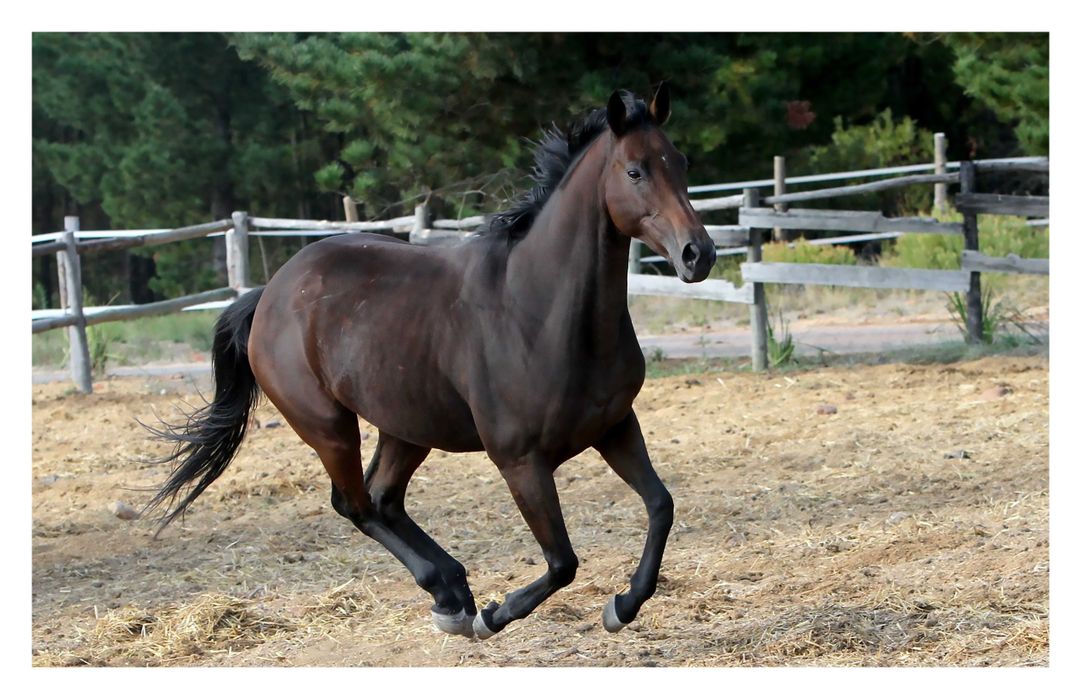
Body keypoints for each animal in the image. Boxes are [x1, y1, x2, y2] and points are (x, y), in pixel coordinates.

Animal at [145, 84, 716, 640]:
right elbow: (562, 562)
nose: (698, 254)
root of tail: (269, 294)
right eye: (635, 171)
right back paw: (454, 598)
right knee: (356, 504)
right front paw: (495, 616)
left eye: (681, 162)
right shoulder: (520, 461)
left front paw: (623, 604)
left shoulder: (615, 426)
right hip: (330, 427)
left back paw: (452, 594)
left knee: (383, 499)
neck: (539, 310)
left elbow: (661, 506)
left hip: (408, 425)